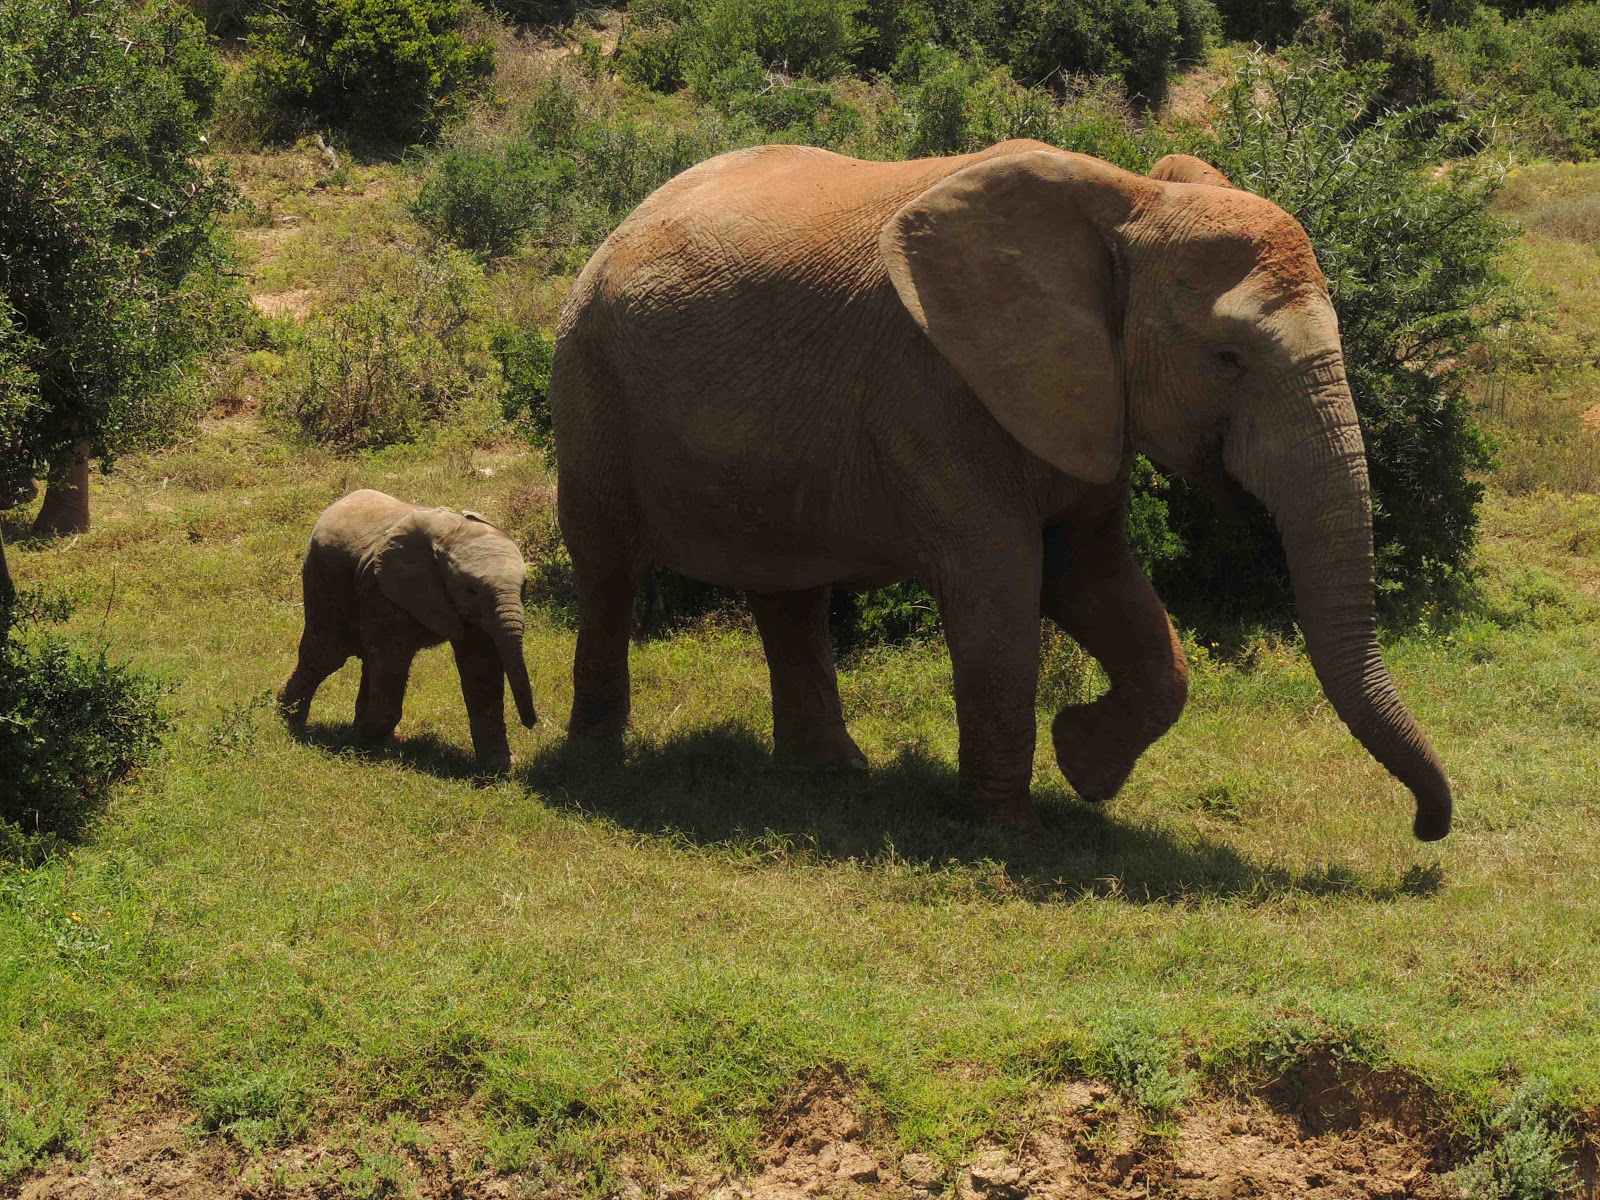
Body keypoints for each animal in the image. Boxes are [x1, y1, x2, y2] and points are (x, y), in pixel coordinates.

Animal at [277, 489, 537, 771]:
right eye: (471, 591)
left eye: (524, 585)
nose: (531, 723)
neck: (454, 534)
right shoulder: (384, 588)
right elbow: (393, 659)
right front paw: (363, 742)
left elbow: (481, 667)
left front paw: (499, 767)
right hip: (320, 575)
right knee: (328, 655)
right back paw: (289, 718)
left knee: (365, 659)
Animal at [547, 139, 1453, 841]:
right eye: (1228, 360)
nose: (1425, 832)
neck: (1129, 204)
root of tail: (619, 223)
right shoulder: (936, 390)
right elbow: (1000, 589)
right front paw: (1011, 830)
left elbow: (1097, 578)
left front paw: (1084, 767)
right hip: (589, 379)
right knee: (607, 570)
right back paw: (598, 761)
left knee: (788, 591)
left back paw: (831, 774)